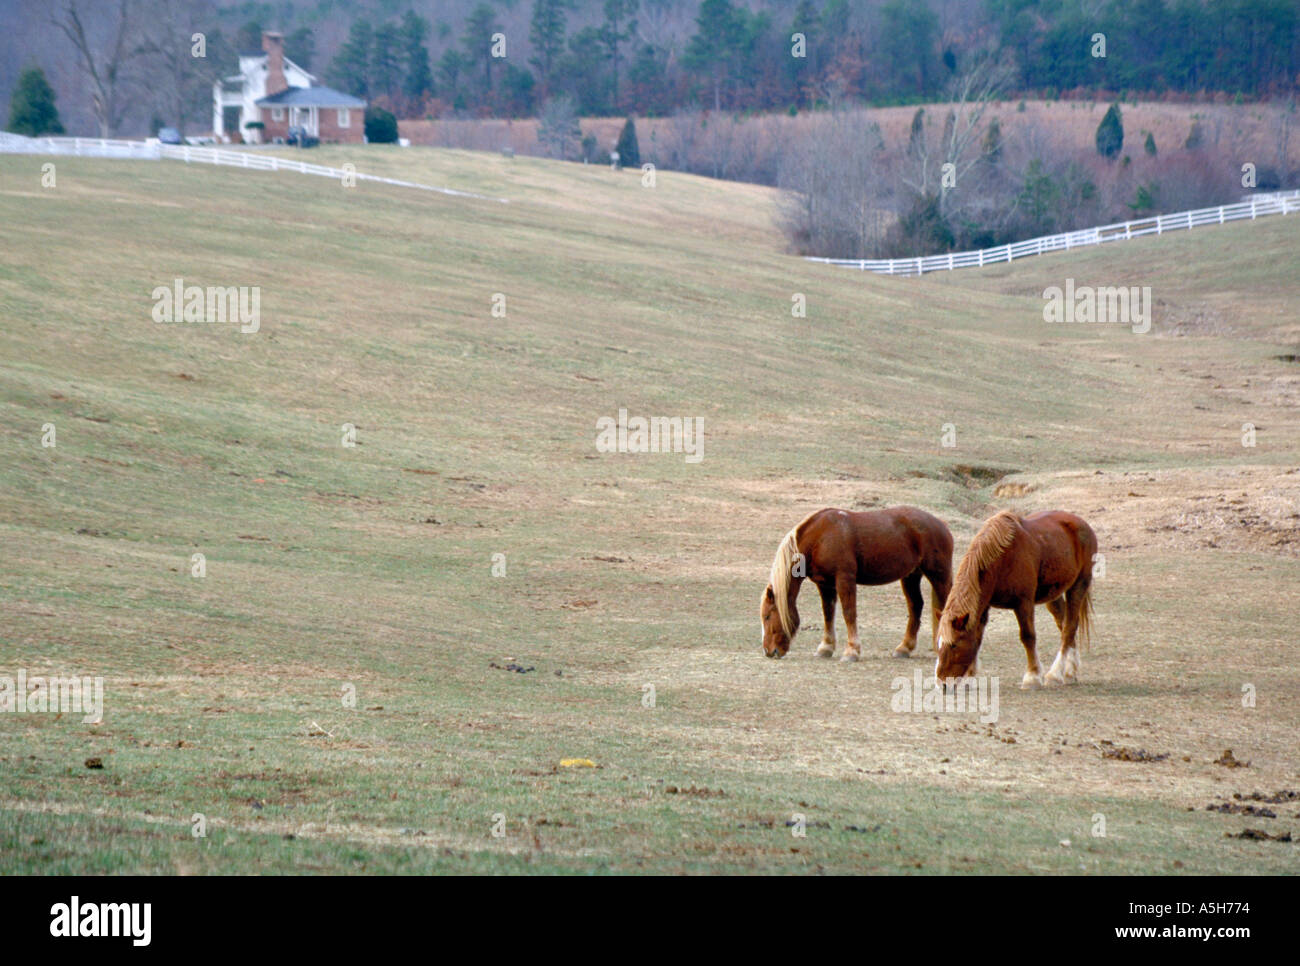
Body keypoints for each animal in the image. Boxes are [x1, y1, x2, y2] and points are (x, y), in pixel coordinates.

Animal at [760, 506, 953, 662]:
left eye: (768, 616)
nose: (768, 651)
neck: (820, 537)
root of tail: (941, 524)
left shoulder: (844, 579)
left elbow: (849, 613)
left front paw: (851, 651)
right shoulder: (825, 584)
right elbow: (828, 614)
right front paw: (826, 648)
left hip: (938, 575)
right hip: (911, 576)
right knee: (915, 606)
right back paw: (904, 648)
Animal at [935, 509, 1096, 689]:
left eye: (953, 644)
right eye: (938, 643)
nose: (942, 683)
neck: (1002, 559)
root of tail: (1081, 523)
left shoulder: (1023, 603)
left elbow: (1028, 636)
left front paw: (1032, 677)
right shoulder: (983, 606)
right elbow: (977, 637)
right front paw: (970, 677)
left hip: (1079, 585)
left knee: (1070, 627)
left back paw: (1055, 674)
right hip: (1054, 594)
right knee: (1064, 624)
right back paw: (1070, 671)